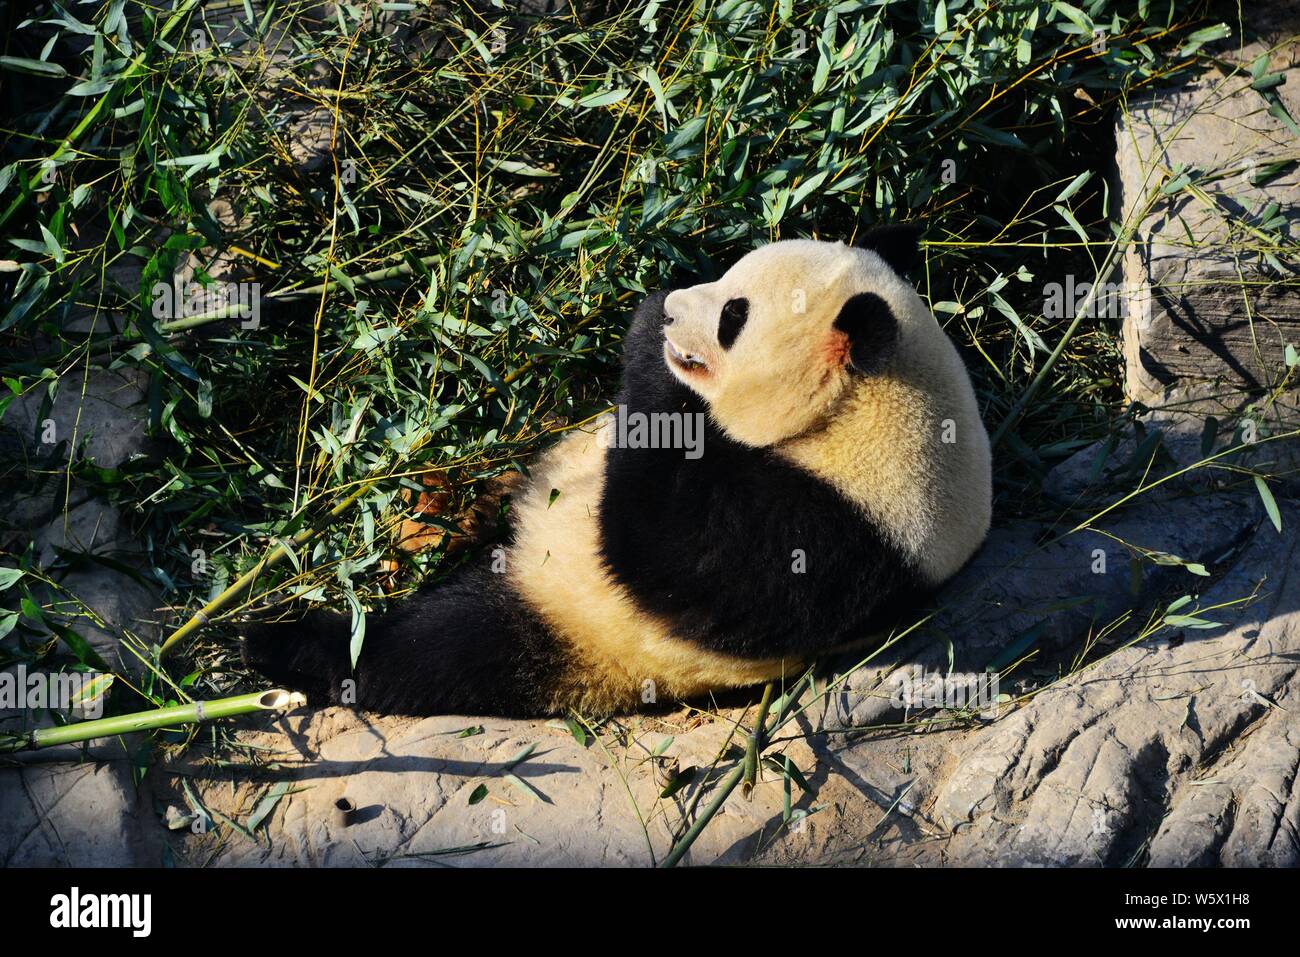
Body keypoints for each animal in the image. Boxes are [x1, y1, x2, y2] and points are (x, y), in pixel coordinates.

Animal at [242, 228, 992, 717]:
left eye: (733, 315)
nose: (671, 306)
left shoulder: (837, 532)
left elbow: (675, 552)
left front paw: (647, 344)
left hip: (576, 624)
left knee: (436, 651)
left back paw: (284, 646)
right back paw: (435, 520)